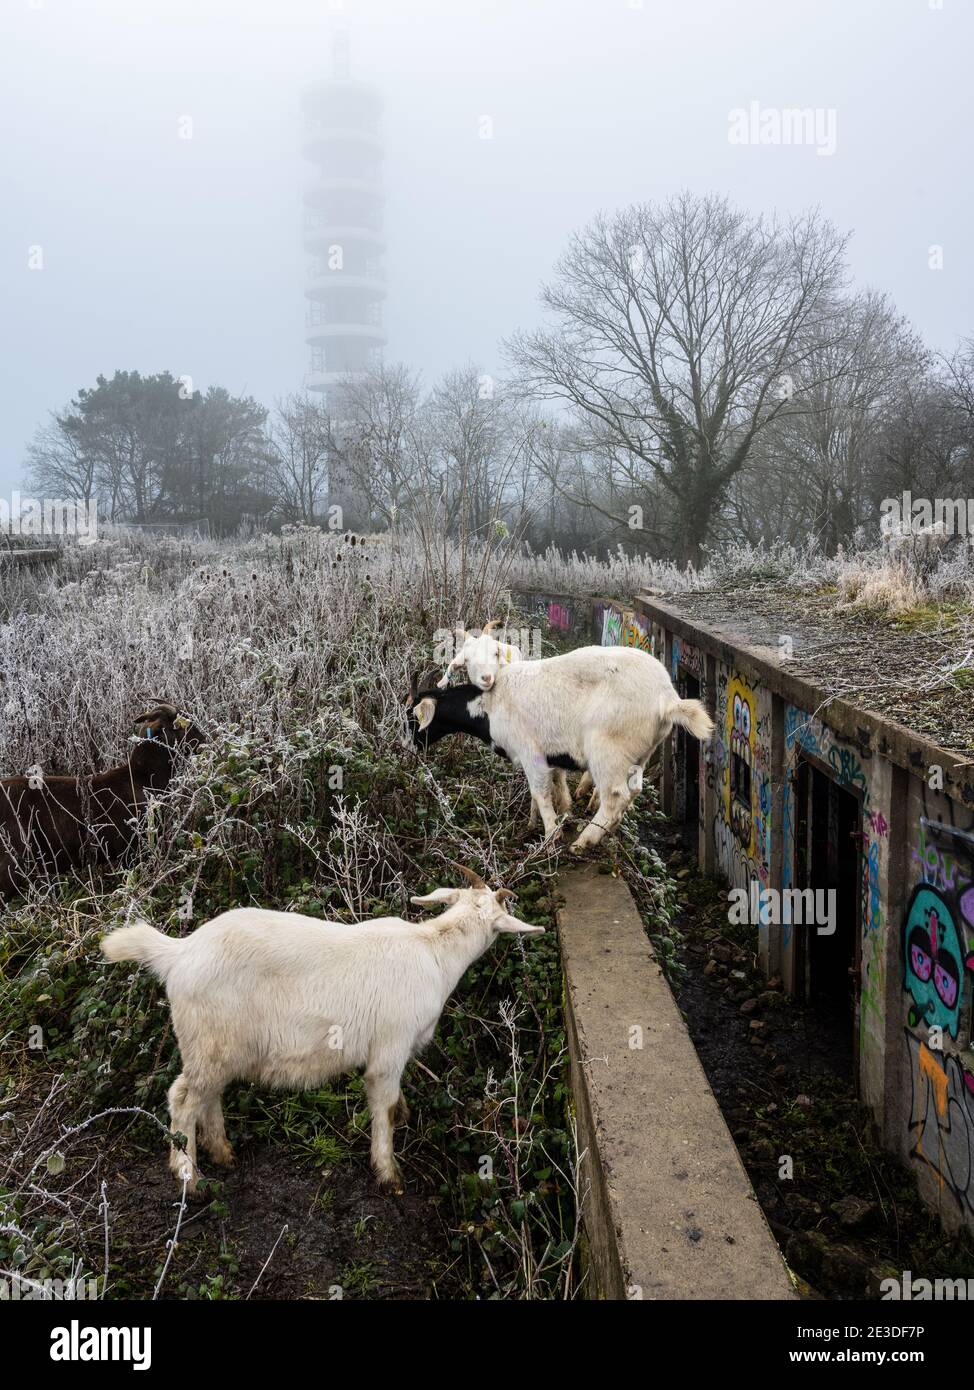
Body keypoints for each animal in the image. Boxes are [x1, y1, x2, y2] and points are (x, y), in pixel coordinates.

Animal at [100, 864, 543, 1194]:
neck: (434, 948)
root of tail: (178, 954)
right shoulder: (390, 1046)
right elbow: (383, 1104)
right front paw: (389, 1173)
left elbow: (395, 1102)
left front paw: (403, 1117)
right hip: (209, 1039)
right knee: (182, 1098)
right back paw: (188, 1175)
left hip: (219, 1046)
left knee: (207, 1095)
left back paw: (222, 1152)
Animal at [409, 646, 714, 852]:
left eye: (413, 716)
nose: (411, 745)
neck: (490, 704)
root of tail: (667, 699)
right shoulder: (547, 753)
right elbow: (552, 782)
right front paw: (543, 820)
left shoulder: (529, 750)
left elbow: (540, 791)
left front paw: (550, 834)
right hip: (640, 753)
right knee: (633, 791)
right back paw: (607, 830)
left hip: (607, 749)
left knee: (616, 795)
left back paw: (584, 841)